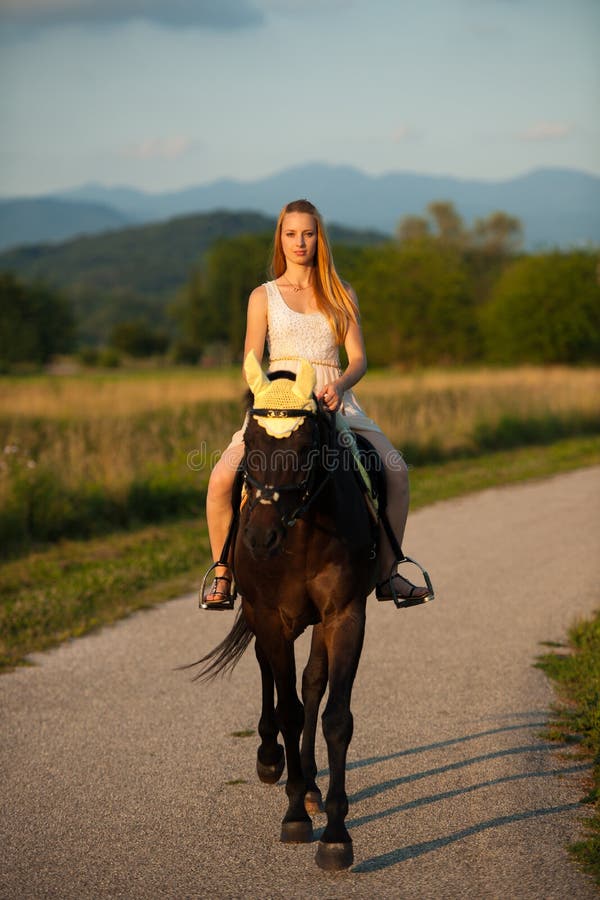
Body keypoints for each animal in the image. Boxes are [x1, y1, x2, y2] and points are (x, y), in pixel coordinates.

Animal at [193, 350, 382, 871]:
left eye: (304, 447)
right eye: (250, 443)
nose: (260, 539)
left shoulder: (345, 616)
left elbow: (334, 716)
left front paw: (335, 835)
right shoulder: (271, 618)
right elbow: (288, 710)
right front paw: (295, 815)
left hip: (315, 623)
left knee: (312, 682)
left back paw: (314, 785)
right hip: (265, 618)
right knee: (268, 675)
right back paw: (270, 758)